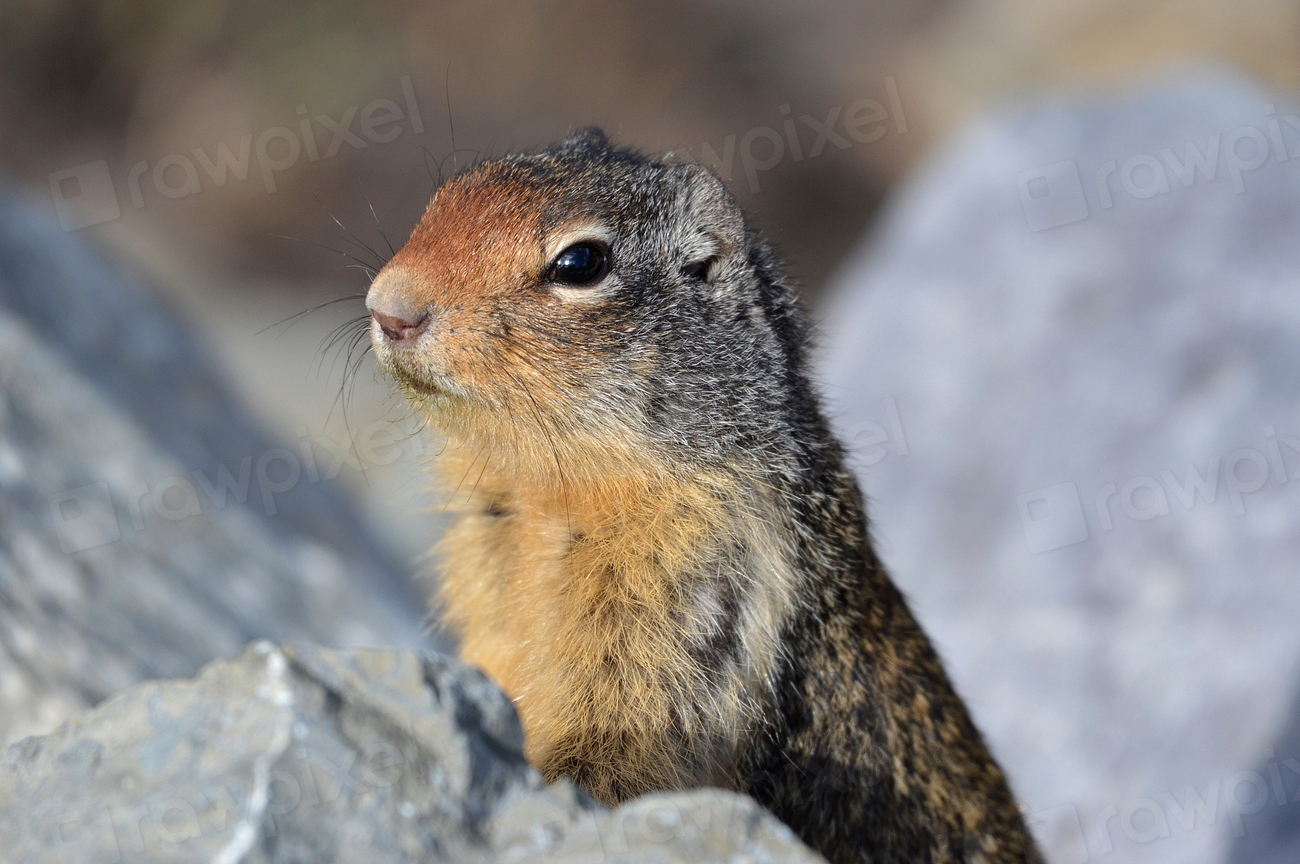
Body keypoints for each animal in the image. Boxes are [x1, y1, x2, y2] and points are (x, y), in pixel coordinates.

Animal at [365, 128, 1042, 864]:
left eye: (580, 262)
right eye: (443, 197)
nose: (388, 308)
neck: (545, 492)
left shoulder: (697, 578)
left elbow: (622, 735)